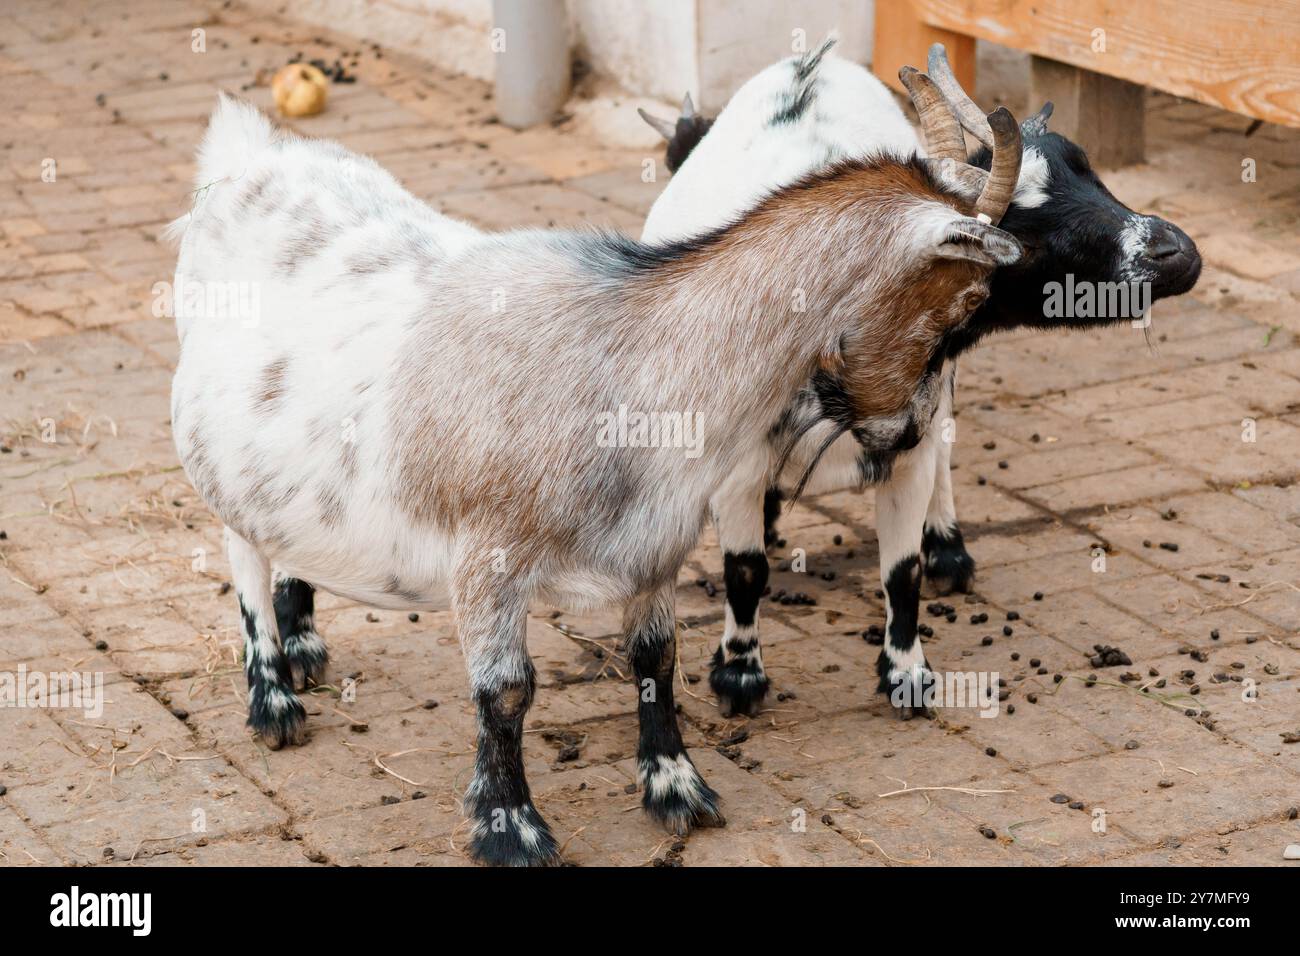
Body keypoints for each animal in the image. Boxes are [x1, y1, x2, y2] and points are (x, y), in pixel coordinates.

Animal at [168, 94, 1025, 865]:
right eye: (965, 305)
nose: (906, 434)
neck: (636, 356)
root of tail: (248, 155)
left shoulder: (655, 549)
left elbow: (656, 661)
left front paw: (677, 789)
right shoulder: (487, 562)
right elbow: (506, 692)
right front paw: (510, 829)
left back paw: (304, 639)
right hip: (217, 453)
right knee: (241, 554)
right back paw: (272, 694)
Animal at [640, 41, 1201, 717]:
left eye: (1088, 169)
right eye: (1024, 238)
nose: (1178, 251)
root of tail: (814, 63)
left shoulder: (910, 439)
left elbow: (900, 570)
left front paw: (907, 673)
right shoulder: (736, 462)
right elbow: (744, 570)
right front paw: (739, 676)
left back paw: (948, 549)